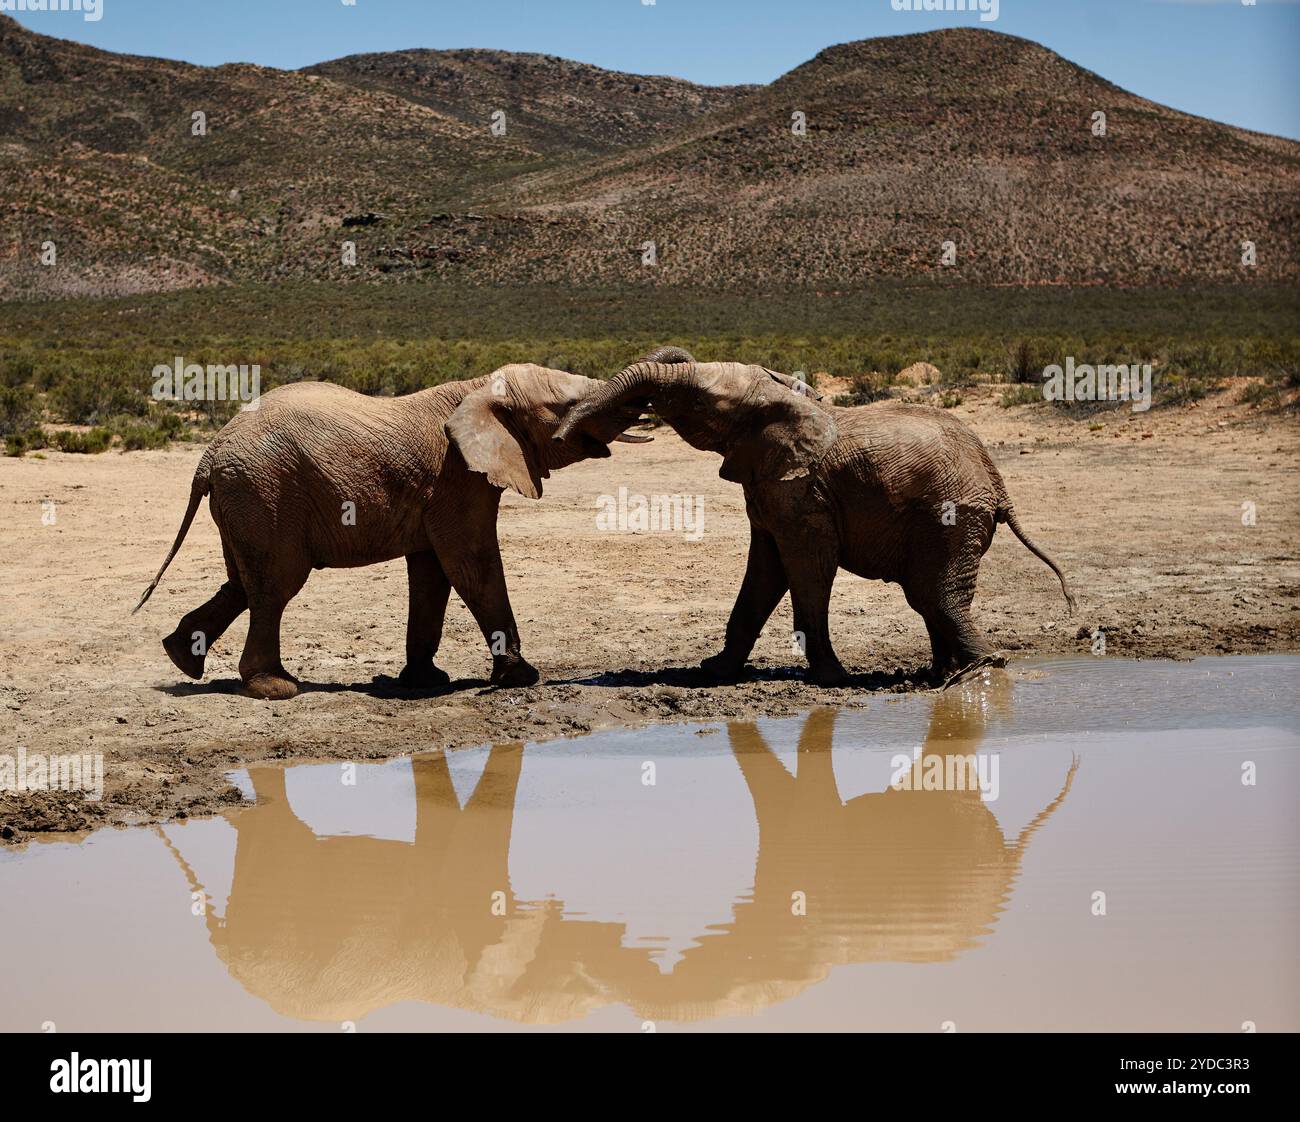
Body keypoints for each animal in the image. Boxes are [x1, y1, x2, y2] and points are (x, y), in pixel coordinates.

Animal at [133, 365, 649, 699]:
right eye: (568, 406)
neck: (478, 389)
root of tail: (207, 456)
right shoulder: (457, 478)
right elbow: (471, 564)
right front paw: (522, 678)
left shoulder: (440, 488)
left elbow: (432, 573)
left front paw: (426, 681)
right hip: (264, 491)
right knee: (276, 585)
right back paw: (276, 689)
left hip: (244, 499)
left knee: (243, 582)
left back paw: (182, 657)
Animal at [554, 350, 1075, 684]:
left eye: (702, 403)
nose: (561, 437)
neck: (790, 403)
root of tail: (996, 479)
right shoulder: (769, 485)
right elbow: (764, 572)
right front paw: (713, 672)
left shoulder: (805, 493)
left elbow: (807, 568)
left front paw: (830, 678)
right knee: (928, 597)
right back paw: (942, 675)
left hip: (951, 515)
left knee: (935, 594)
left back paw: (979, 674)